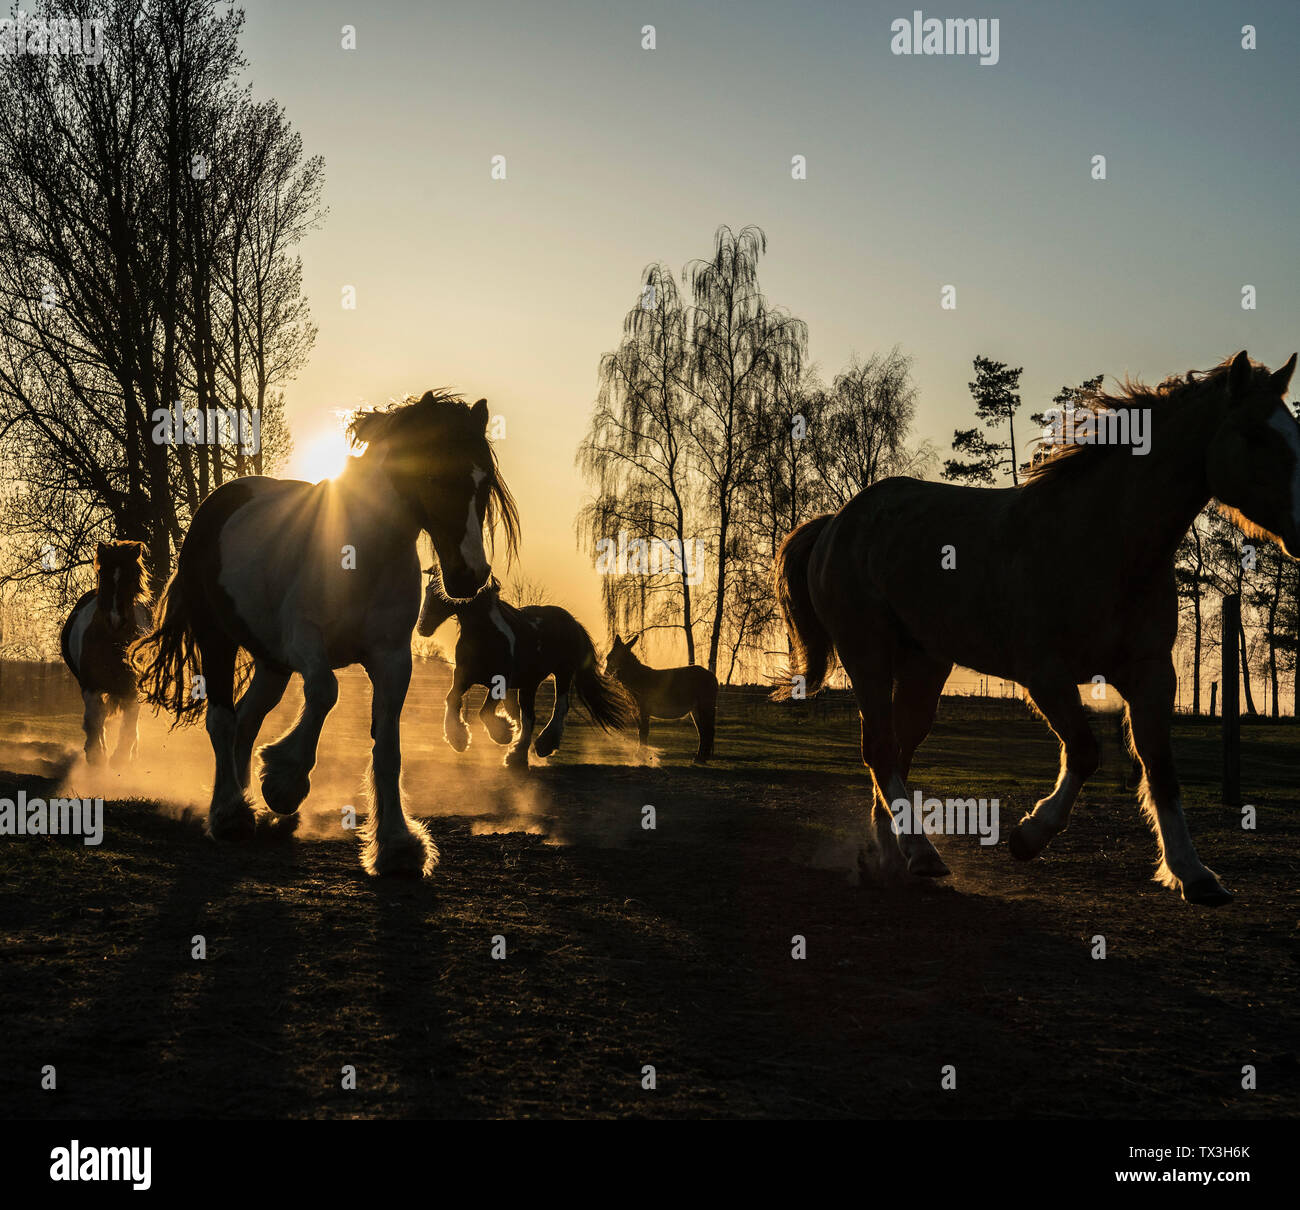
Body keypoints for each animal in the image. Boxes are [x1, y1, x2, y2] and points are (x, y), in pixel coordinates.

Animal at [60, 540, 151, 766]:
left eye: (132, 576)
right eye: (103, 573)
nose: (115, 620)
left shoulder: (131, 688)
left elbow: (129, 725)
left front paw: (121, 759)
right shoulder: (91, 686)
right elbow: (95, 719)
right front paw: (96, 758)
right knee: (98, 717)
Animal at [133, 391, 518, 877]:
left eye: (483, 483)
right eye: (433, 474)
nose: (470, 576)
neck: (362, 554)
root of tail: (218, 504)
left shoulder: (392, 660)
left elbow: (388, 751)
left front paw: (397, 845)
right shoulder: (305, 641)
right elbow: (325, 692)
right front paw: (284, 780)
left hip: (272, 665)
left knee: (246, 721)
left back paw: (254, 810)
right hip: (217, 639)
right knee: (222, 720)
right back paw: (230, 814)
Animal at [418, 577, 634, 767]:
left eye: (439, 593)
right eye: (427, 590)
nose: (422, 627)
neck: (485, 633)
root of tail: (572, 622)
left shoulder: (501, 683)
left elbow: (484, 712)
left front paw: (503, 734)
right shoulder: (463, 678)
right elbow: (452, 699)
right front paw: (459, 740)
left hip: (563, 673)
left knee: (559, 707)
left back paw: (543, 745)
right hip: (529, 685)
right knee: (529, 717)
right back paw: (518, 756)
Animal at [605, 635, 719, 763]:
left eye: (612, 658)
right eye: (608, 657)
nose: (605, 676)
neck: (636, 679)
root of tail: (712, 675)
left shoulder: (644, 709)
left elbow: (644, 731)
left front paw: (641, 756)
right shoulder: (637, 711)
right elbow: (640, 731)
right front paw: (640, 755)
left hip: (706, 705)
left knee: (708, 730)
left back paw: (701, 759)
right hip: (695, 709)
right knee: (702, 731)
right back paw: (699, 758)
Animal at [774, 351, 1298, 905]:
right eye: (1255, 434)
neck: (1099, 542)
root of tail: (836, 523)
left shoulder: (1151, 674)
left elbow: (1160, 768)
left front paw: (1193, 873)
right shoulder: (1044, 674)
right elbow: (1085, 753)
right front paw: (1029, 836)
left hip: (924, 665)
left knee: (894, 748)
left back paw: (893, 856)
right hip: (867, 655)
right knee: (878, 748)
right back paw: (920, 853)